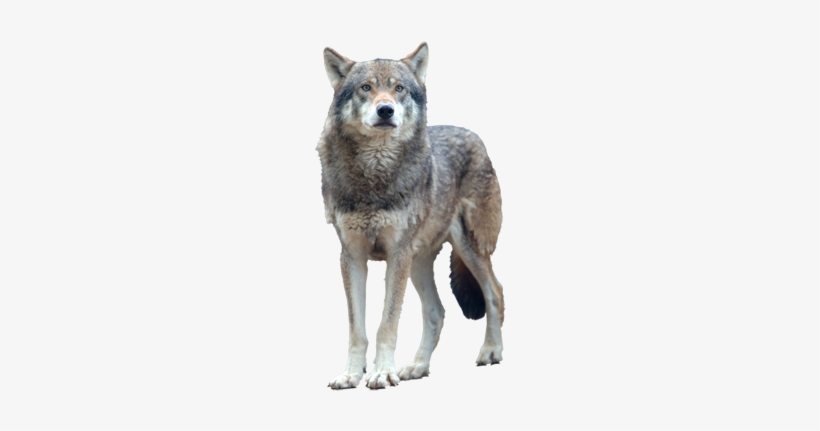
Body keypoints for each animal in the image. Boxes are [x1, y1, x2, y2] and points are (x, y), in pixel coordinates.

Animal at [318, 43, 505, 389]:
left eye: (399, 88)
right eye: (366, 88)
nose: (385, 110)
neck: (375, 175)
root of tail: (473, 135)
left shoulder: (397, 253)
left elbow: (386, 323)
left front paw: (381, 372)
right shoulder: (351, 255)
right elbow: (357, 329)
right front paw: (351, 374)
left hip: (467, 248)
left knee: (495, 293)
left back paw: (490, 352)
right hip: (418, 262)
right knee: (436, 312)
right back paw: (418, 366)